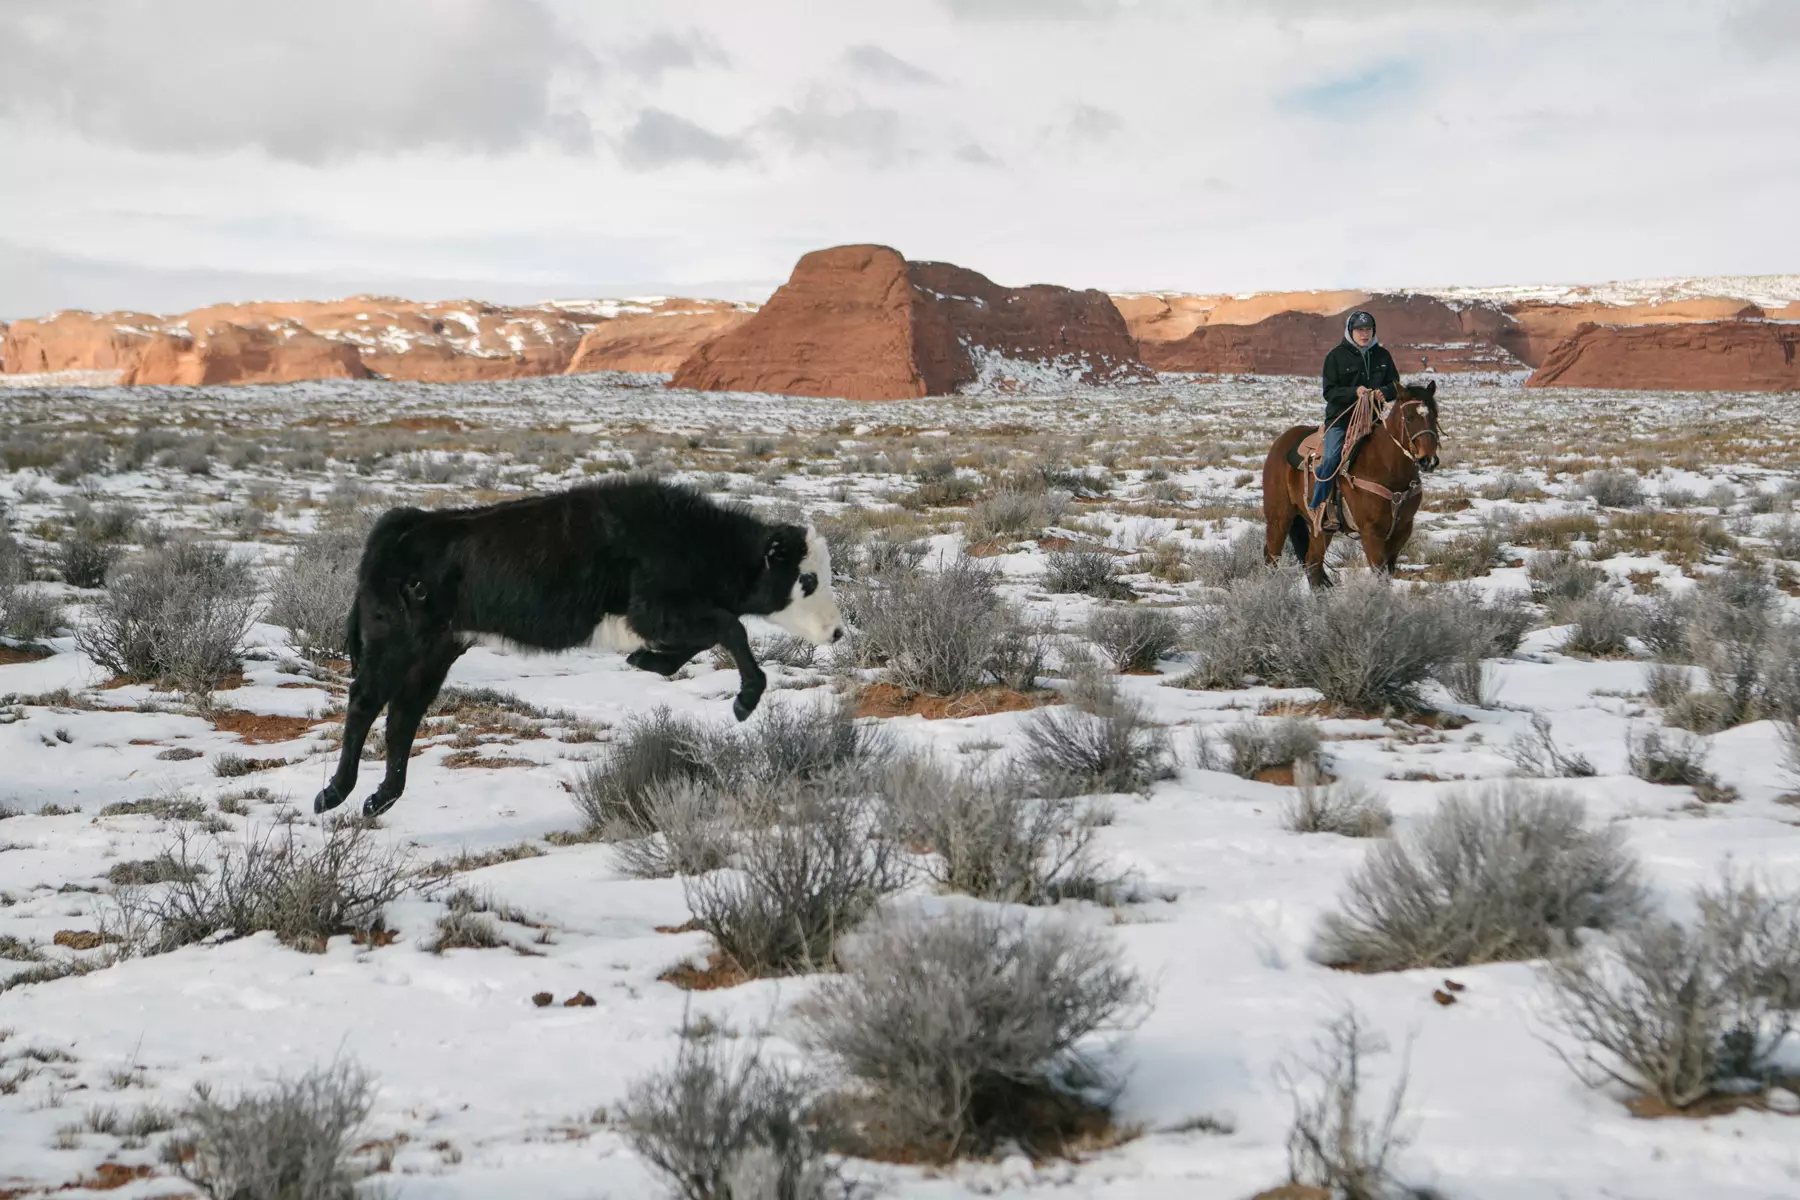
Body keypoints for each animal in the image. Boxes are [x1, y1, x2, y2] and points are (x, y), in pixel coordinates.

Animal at [315, 474, 842, 816]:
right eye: (808, 579)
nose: (837, 632)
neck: (692, 539)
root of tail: (404, 525)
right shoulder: (656, 607)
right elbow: (732, 628)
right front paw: (744, 701)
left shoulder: (660, 617)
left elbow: (698, 642)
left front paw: (646, 660)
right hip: (395, 645)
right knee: (365, 705)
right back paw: (335, 793)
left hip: (434, 653)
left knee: (403, 717)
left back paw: (379, 799)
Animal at [1267, 377, 1447, 590]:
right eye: (1409, 417)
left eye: (1435, 415)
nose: (1428, 460)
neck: (1387, 466)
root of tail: (1280, 442)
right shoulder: (1371, 532)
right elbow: (1379, 574)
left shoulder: (1402, 530)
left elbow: (1387, 574)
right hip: (1279, 517)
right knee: (1272, 558)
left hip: (1321, 527)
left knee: (1313, 564)